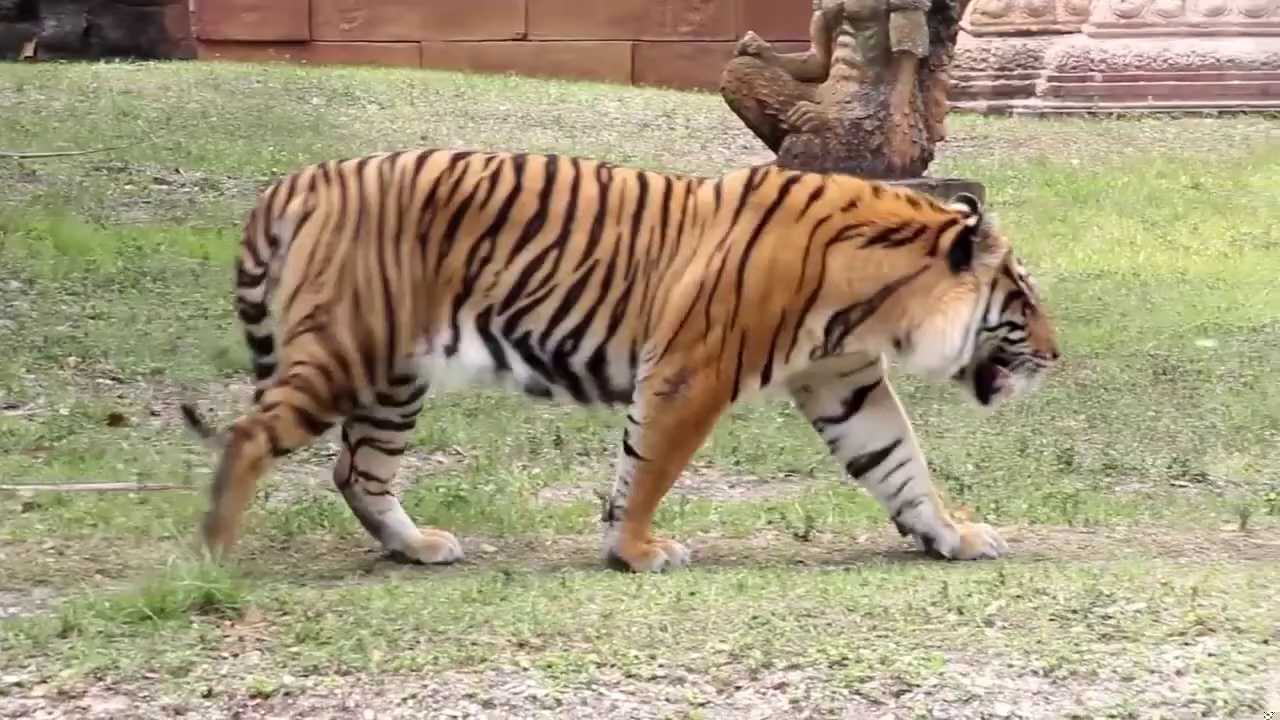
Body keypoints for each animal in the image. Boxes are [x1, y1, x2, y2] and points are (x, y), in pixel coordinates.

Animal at [179, 148, 1059, 573]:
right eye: (1022, 298)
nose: (1056, 355)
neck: (878, 301)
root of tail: (299, 179)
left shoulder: (843, 382)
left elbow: (901, 465)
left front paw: (952, 536)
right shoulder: (690, 373)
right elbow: (649, 468)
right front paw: (636, 551)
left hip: (394, 375)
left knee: (357, 471)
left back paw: (417, 546)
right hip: (346, 353)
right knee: (252, 436)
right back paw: (212, 556)